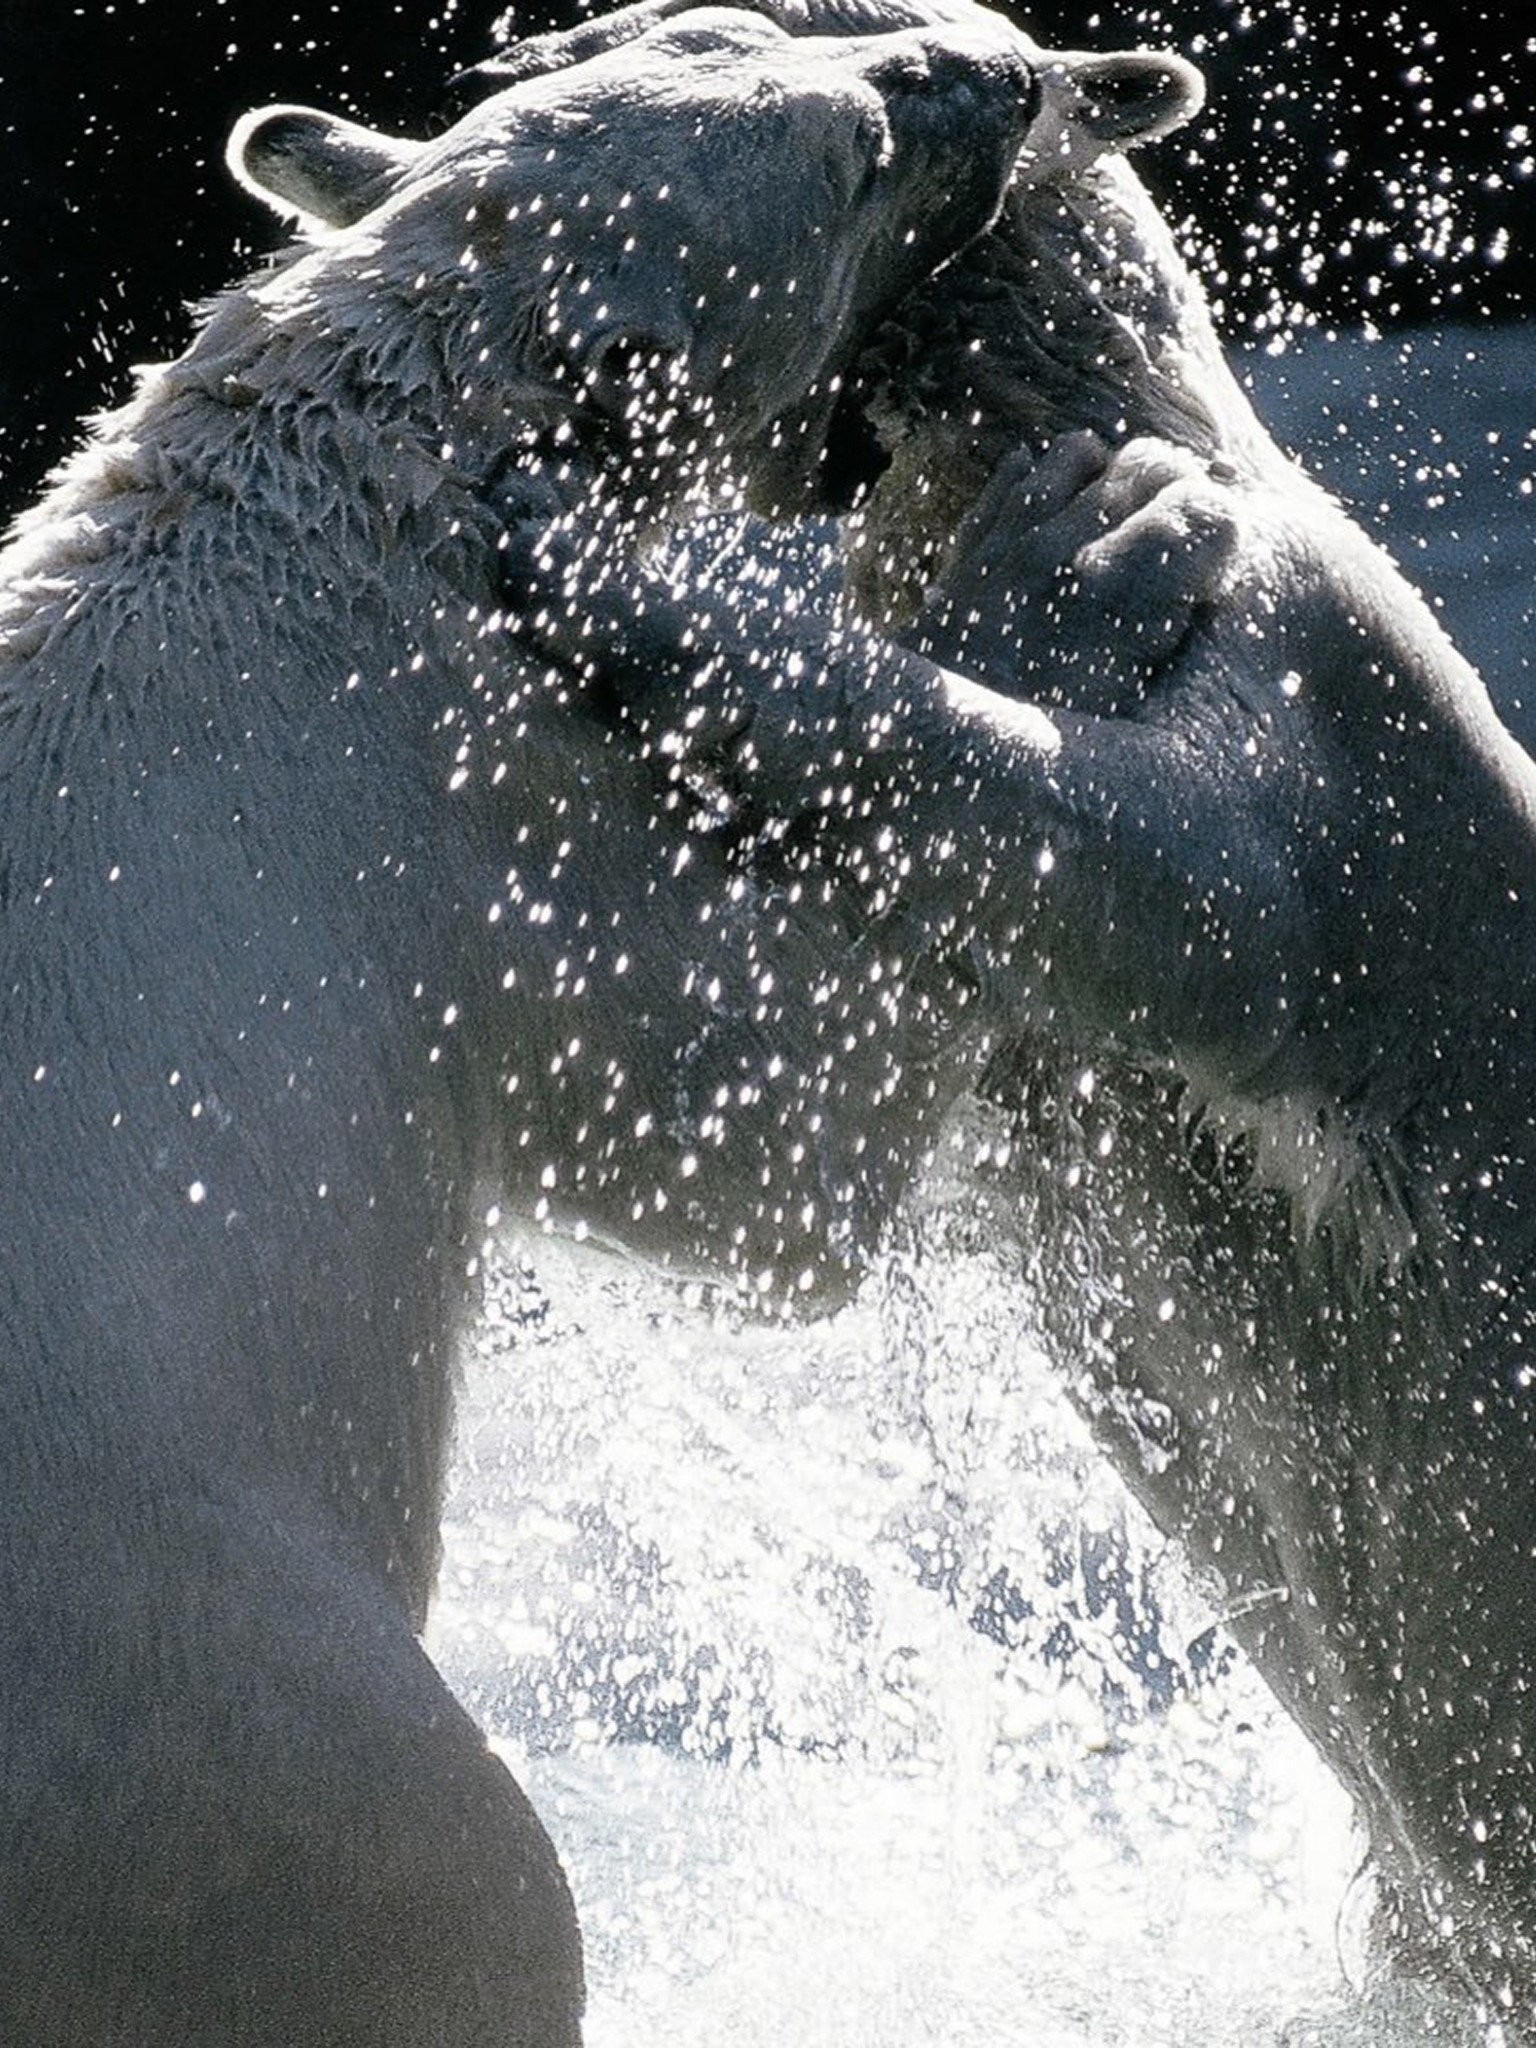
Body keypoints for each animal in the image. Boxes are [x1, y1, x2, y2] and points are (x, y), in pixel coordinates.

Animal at [0, 13, 1059, 2041]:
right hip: (238, 1714)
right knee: (478, 1892)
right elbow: (769, 1156)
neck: (350, 483)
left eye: (743, 29)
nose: (995, 69)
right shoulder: (450, 814)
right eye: (859, 149)